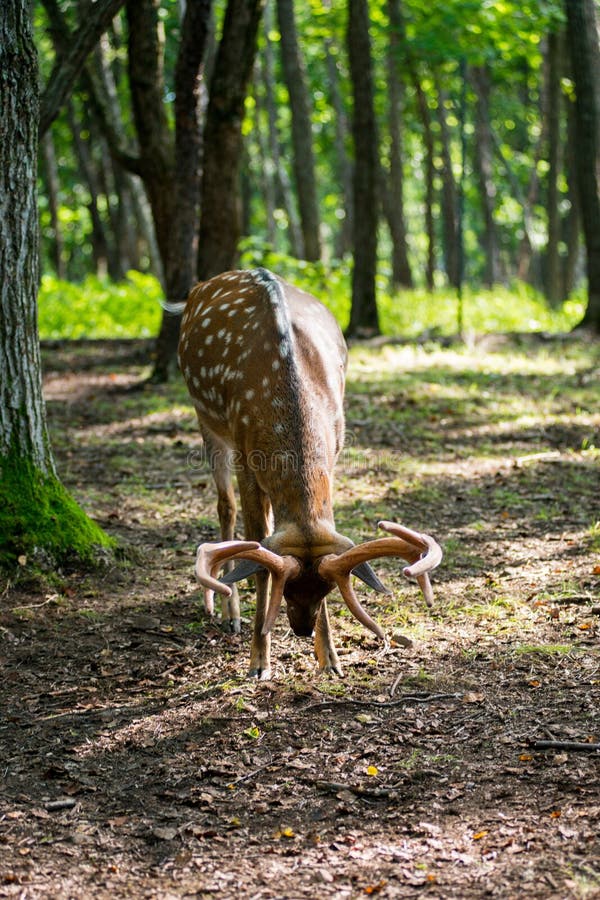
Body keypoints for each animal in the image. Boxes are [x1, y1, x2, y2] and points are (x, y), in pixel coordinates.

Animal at [178, 268, 442, 680]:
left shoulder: (337, 446)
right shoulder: (244, 454)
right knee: (225, 508)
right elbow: (257, 556)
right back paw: (227, 611)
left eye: (327, 592)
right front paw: (258, 661)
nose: (301, 628)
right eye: (286, 589)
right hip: (207, 420)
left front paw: (331, 659)